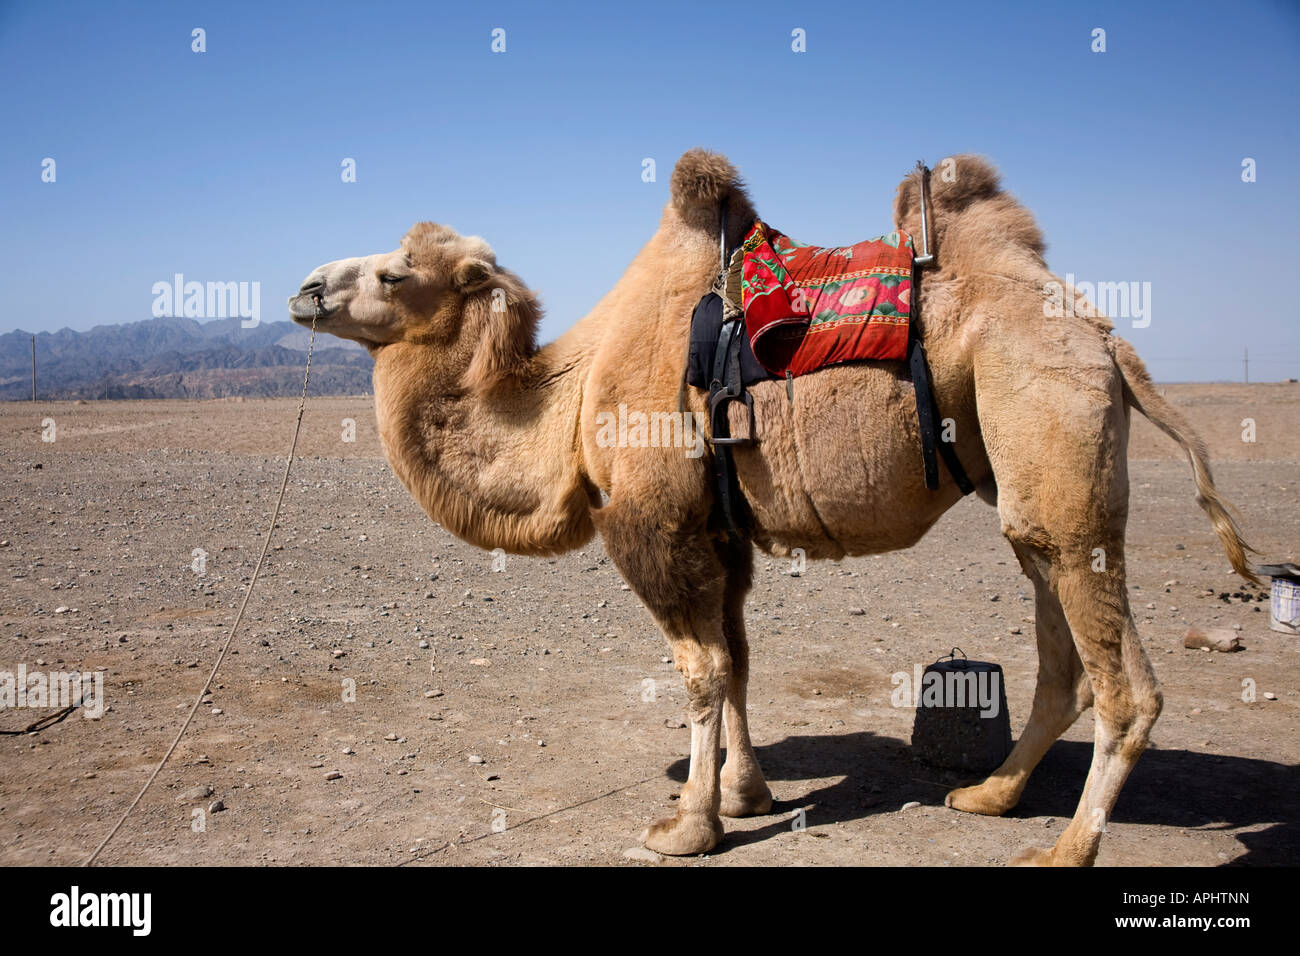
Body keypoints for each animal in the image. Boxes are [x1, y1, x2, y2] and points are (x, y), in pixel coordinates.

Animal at [288, 150, 1255, 866]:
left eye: (395, 273)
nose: (304, 288)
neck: (571, 397)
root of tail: (1105, 337)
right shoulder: (723, 532)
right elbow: (742, 661)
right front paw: (747, 792)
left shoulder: (654, 527)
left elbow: (702, 670)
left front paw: (687, 826)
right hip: (1026, 483)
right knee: (1063, 650)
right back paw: (989, 795)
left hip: (1054, 436)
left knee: (1125, 685)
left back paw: (1064, 850)